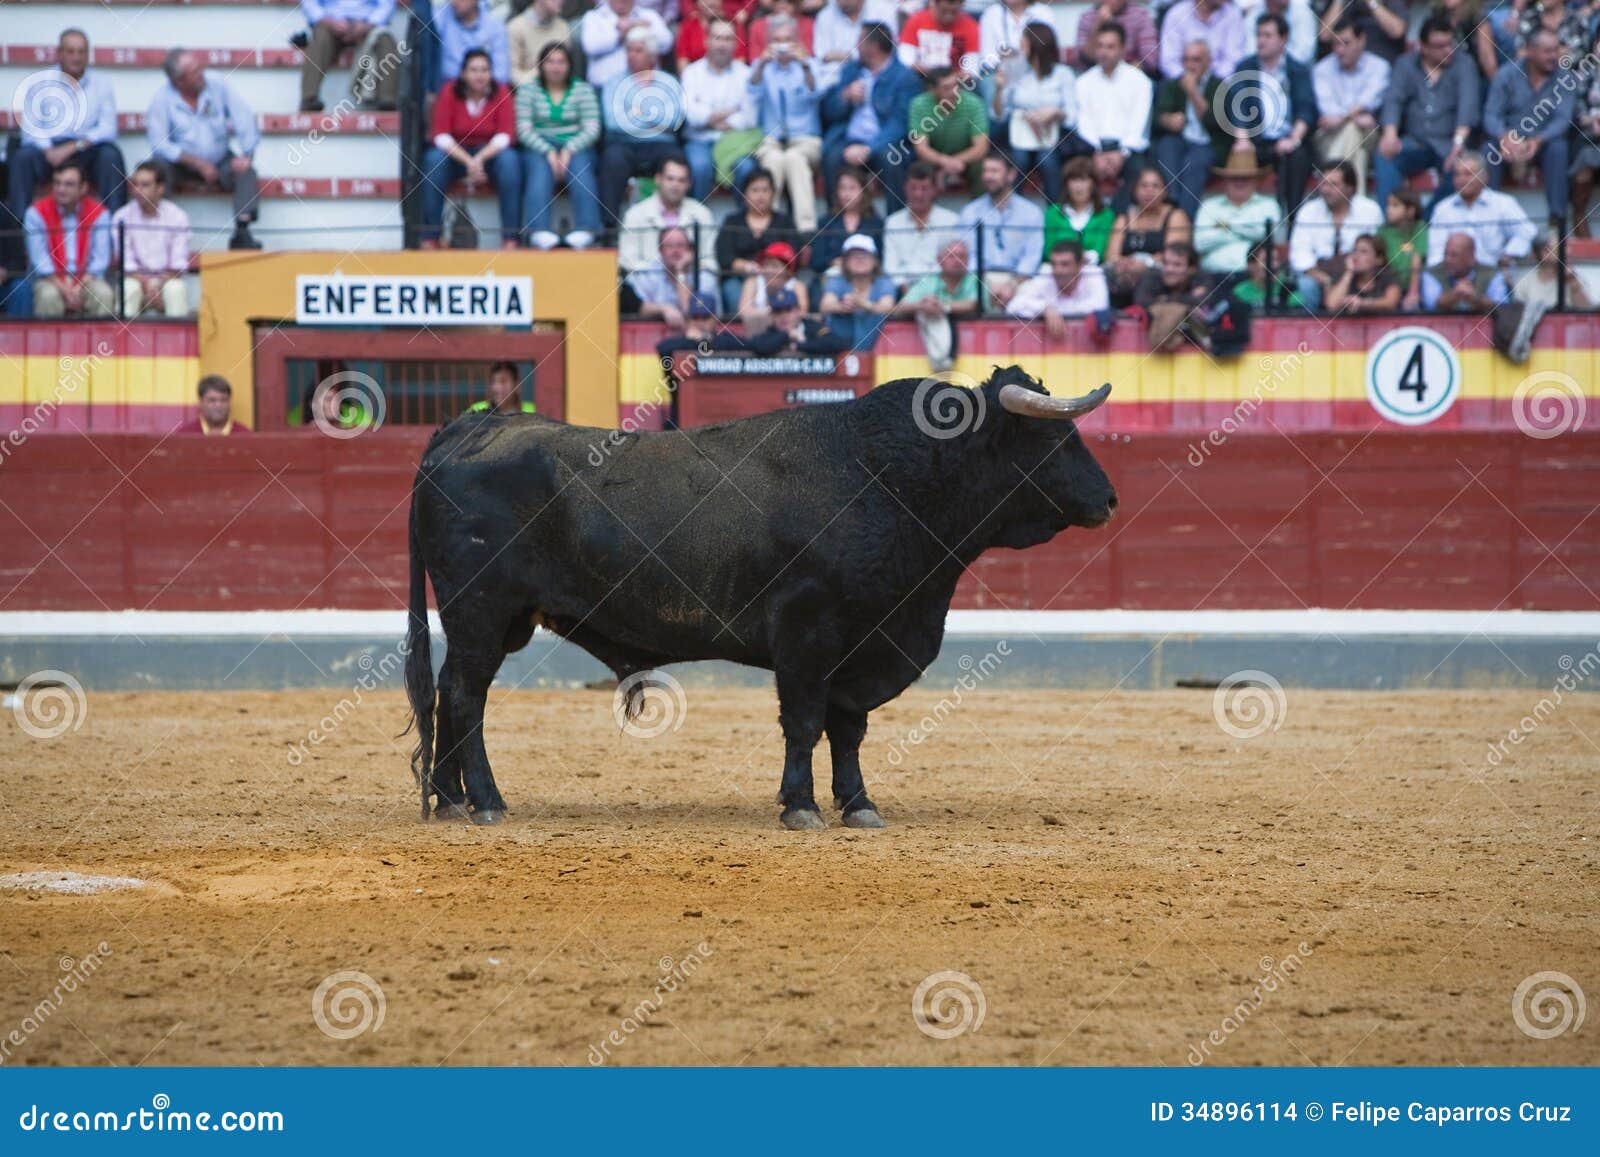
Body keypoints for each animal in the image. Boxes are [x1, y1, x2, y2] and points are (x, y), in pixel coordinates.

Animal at [403, 364, 1117, 830]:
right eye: (1053, 439)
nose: (1109, 499)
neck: (888, 478)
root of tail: (465, 433)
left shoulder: (861, 646)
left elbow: (848, 728)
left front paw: (858, 804)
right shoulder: (808, 631)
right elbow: (803, 721)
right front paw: (800, 806)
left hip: (497, 622)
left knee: (452, 695)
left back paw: (451, 800)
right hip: (481, 612)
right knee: (464, 697)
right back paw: (484, 802)